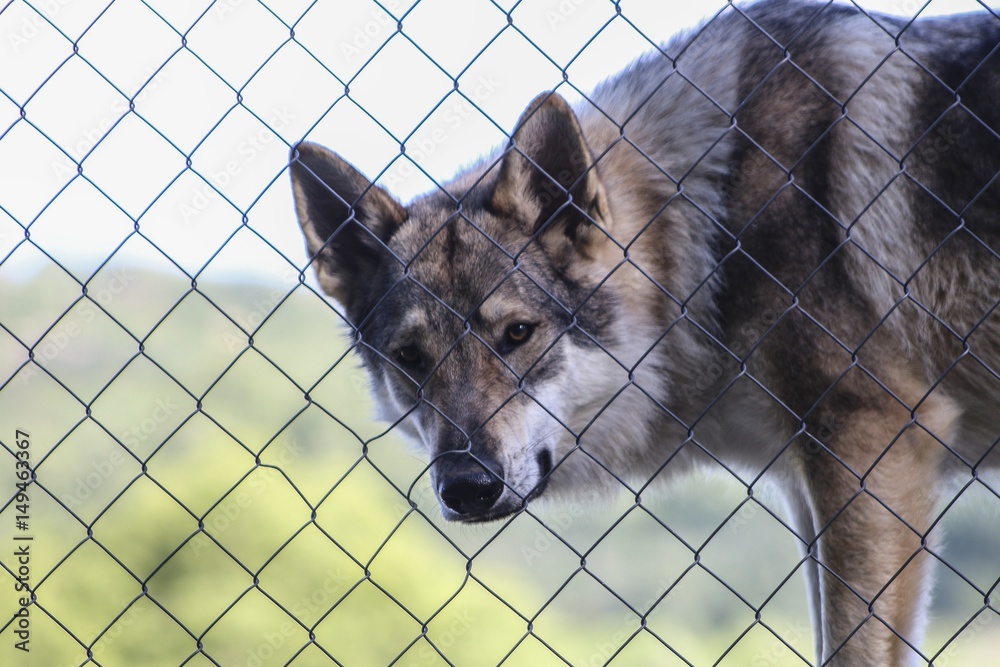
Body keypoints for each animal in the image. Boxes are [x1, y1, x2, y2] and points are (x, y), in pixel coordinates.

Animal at [289, 1, 1000, 664]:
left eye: (517, 333)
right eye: (410, 357)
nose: (466, 487)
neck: (708, 220)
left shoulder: (870, 447)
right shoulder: (815, 483)